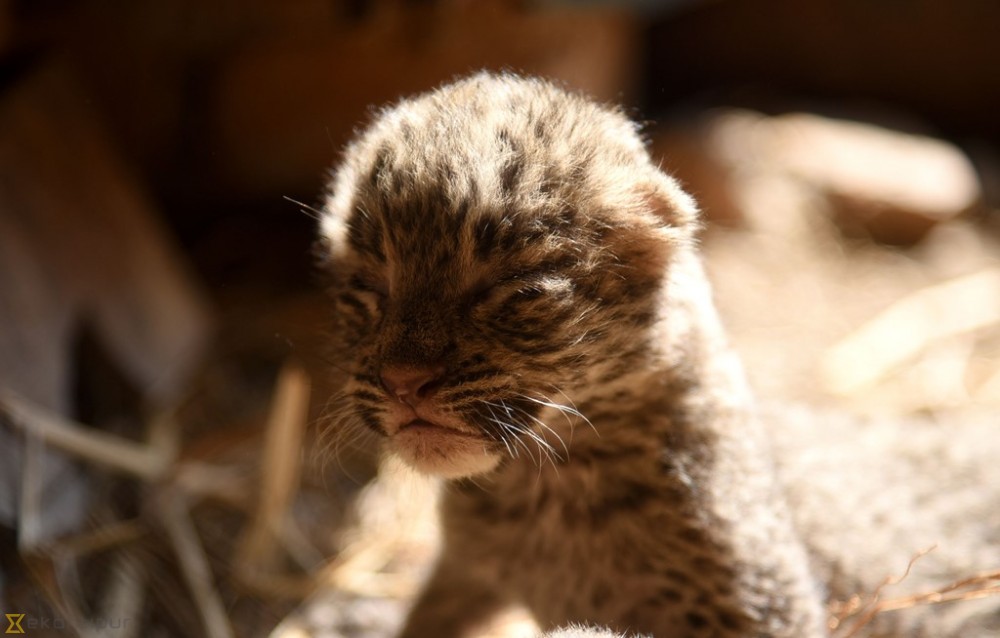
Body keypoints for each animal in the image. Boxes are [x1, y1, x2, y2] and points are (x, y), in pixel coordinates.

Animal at [316, 71, 1000, 638]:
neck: (541, 496)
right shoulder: (465, 570)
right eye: (369, 291)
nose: (403, 381)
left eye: (515, 291)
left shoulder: (766, 610)